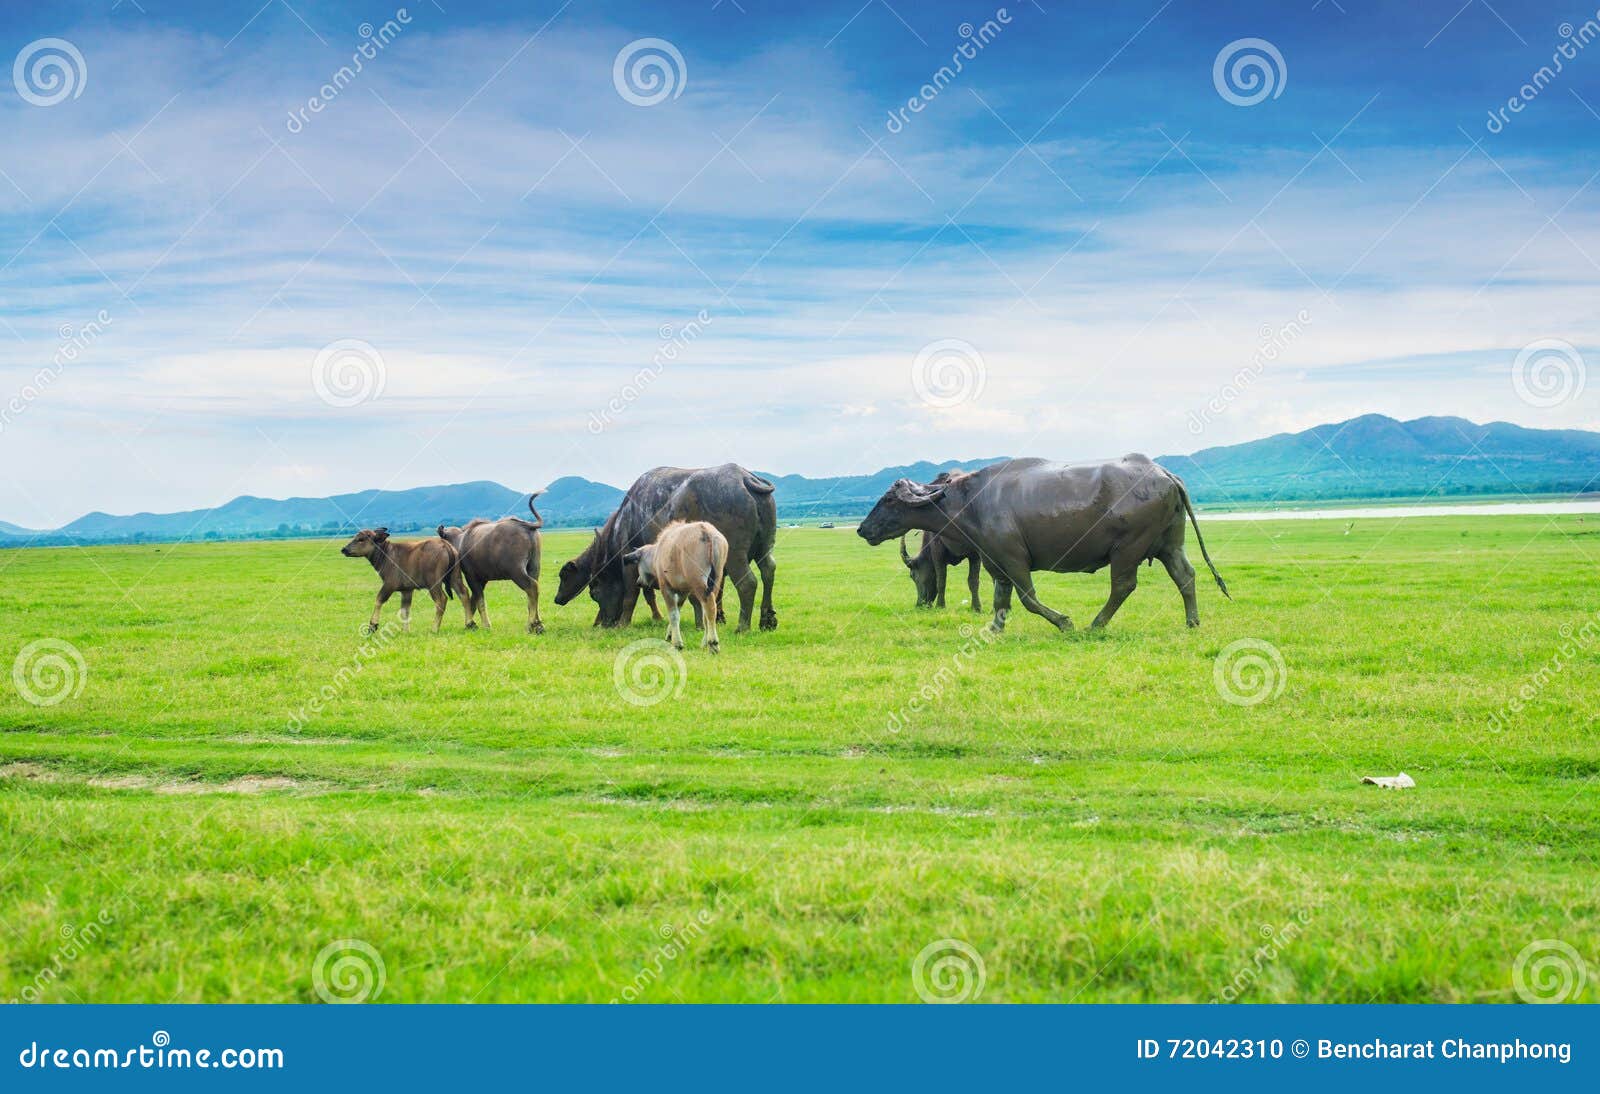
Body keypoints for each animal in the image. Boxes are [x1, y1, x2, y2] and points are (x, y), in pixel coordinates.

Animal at [554, 464, 778, 631]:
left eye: (594, 592)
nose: (605, 623)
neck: (625, 520)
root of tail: (744, 478)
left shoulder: (631, 561)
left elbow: (631, 594)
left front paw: (624, 623)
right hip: (764, 547)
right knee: (768, 570)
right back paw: (767, 620)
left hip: (735, 555)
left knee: (748, 582)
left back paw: (742, 626)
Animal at [857, 456, 1227, 632]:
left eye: (888, 500)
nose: (862, 529)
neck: (972, 501)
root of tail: (1163, 473)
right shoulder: (994, 562)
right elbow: (1000, 600)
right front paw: (994, 629)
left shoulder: (1014, 559)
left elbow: (1028, 599)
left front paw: (1064, 622)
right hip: (1169, 545)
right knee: (1185, 576)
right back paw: (1192, 622)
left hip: (1128, 550)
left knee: (1123, 586)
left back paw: (1095, 624)